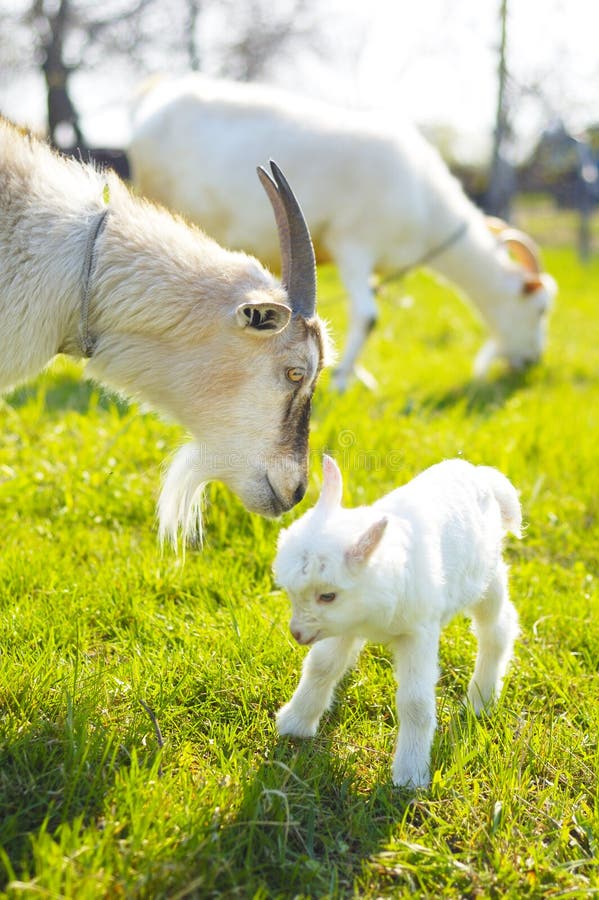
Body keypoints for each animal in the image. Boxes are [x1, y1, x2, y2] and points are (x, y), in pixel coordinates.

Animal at [129, 75, 557, 391]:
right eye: (540, 309)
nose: (531, 363)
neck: (424, 201)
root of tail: (154, 97)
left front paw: (354, 375)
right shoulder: (354, 244)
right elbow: (367, 316)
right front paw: (342, 382)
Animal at [274, 455, 521, 789]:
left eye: (327, 596)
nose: (297, 634)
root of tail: (481, 475)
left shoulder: (419, 633)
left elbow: (415, 702)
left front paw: (410, 776)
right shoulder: (342, 626)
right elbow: (321, 667)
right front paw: (294, 724)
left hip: (486, 577)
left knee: (497, 628)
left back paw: (481, 700)